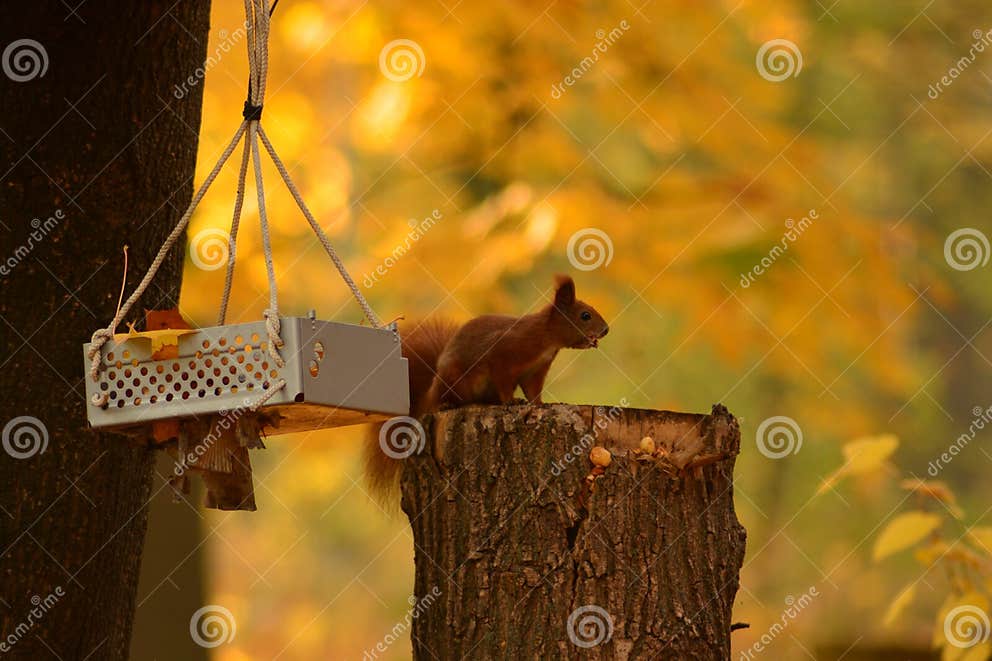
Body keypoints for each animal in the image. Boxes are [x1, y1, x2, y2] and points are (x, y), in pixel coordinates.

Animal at [364, 274, 609, 500]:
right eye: (585, 315)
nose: (606, 330)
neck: (545, 336)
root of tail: (430, 390)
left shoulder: (535, 371)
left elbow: (533, 390)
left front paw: (540, 404)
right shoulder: (502, 356)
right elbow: (504, 381)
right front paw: (511, 401)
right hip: (453, 378)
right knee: (446, 398)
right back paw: (447, 403)